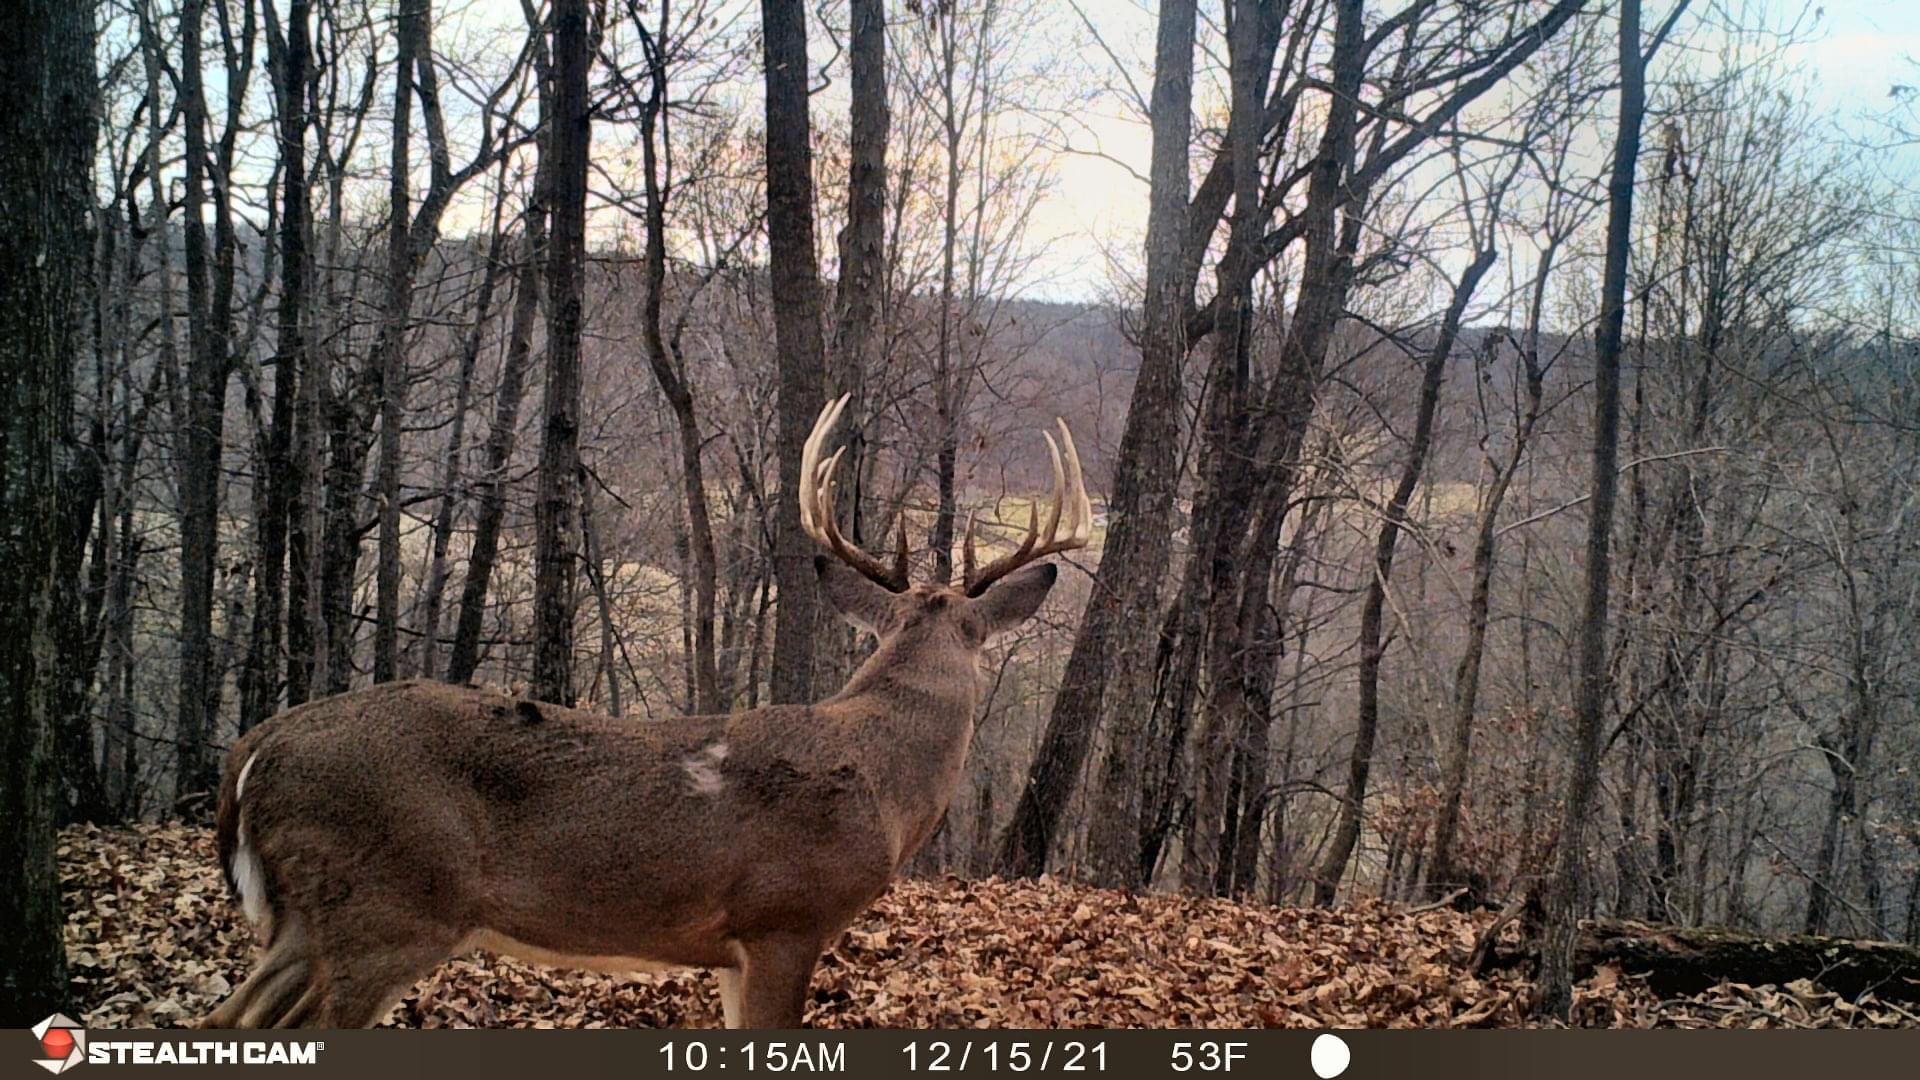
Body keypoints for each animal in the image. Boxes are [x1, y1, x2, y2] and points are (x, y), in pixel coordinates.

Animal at [200, 394, 1091, 1029]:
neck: (879, 780)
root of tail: (252, 754)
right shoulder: (783, 920)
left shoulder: (730, 954)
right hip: (388, 907)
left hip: (307, 921)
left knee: (227, 1019)